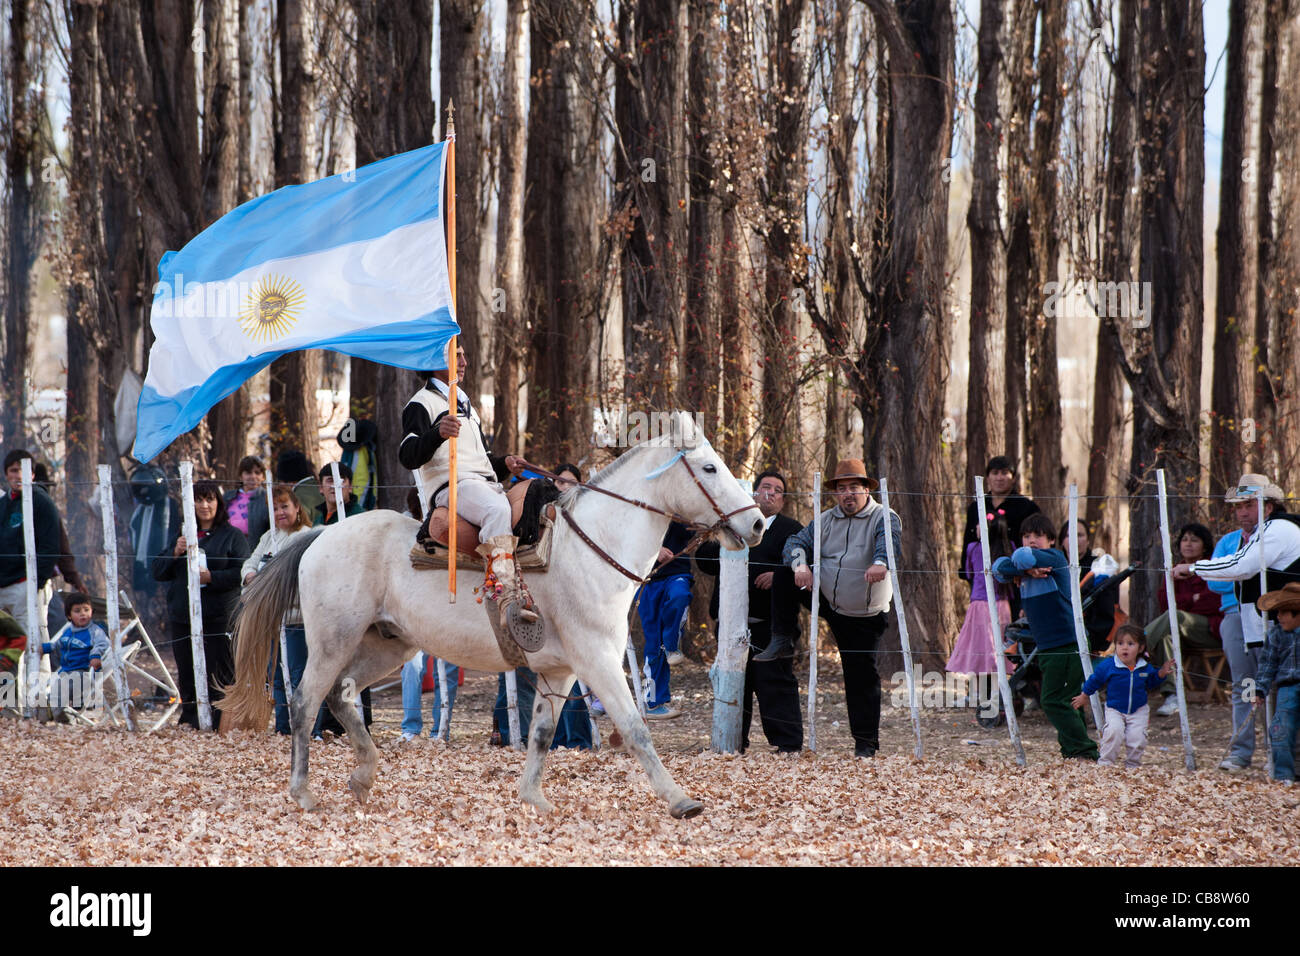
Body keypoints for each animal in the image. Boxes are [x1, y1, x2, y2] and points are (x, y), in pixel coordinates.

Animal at [220, 412, 764, 819]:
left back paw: (363, 775)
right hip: (333, 642)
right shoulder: (600, 662)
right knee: (305, 702)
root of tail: (320, 535)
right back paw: (303, 792)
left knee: (342, 694)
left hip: (387, 645)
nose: (758, 523)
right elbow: (635, 729)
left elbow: (542, 732)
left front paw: (534, 799)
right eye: (710, 469)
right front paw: (681, 800)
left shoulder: (560, 671)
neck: (588, 546)